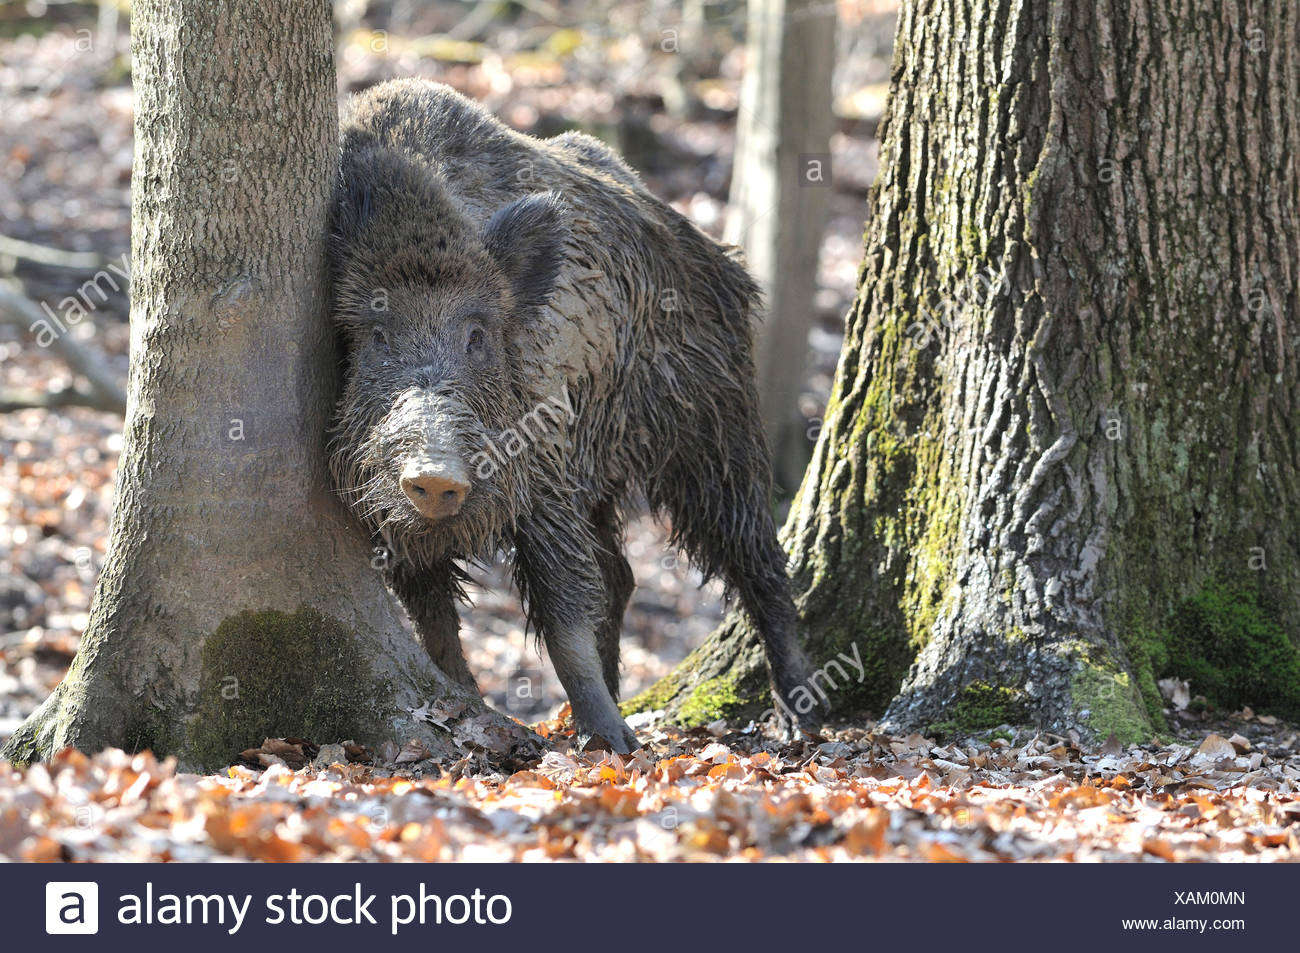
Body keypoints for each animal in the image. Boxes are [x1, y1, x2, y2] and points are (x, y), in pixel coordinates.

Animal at [328, 79, 817, 752]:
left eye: (478, 334)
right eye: (373, 336)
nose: (435, 476)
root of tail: (717, 256)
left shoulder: (547, 473)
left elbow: (563, 613)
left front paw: (616, 745)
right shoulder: (390, 510)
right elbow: (435, 616)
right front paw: (469, 703)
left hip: (716, 424)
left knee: (757, 561)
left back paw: (803, 722)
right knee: (622, 576)